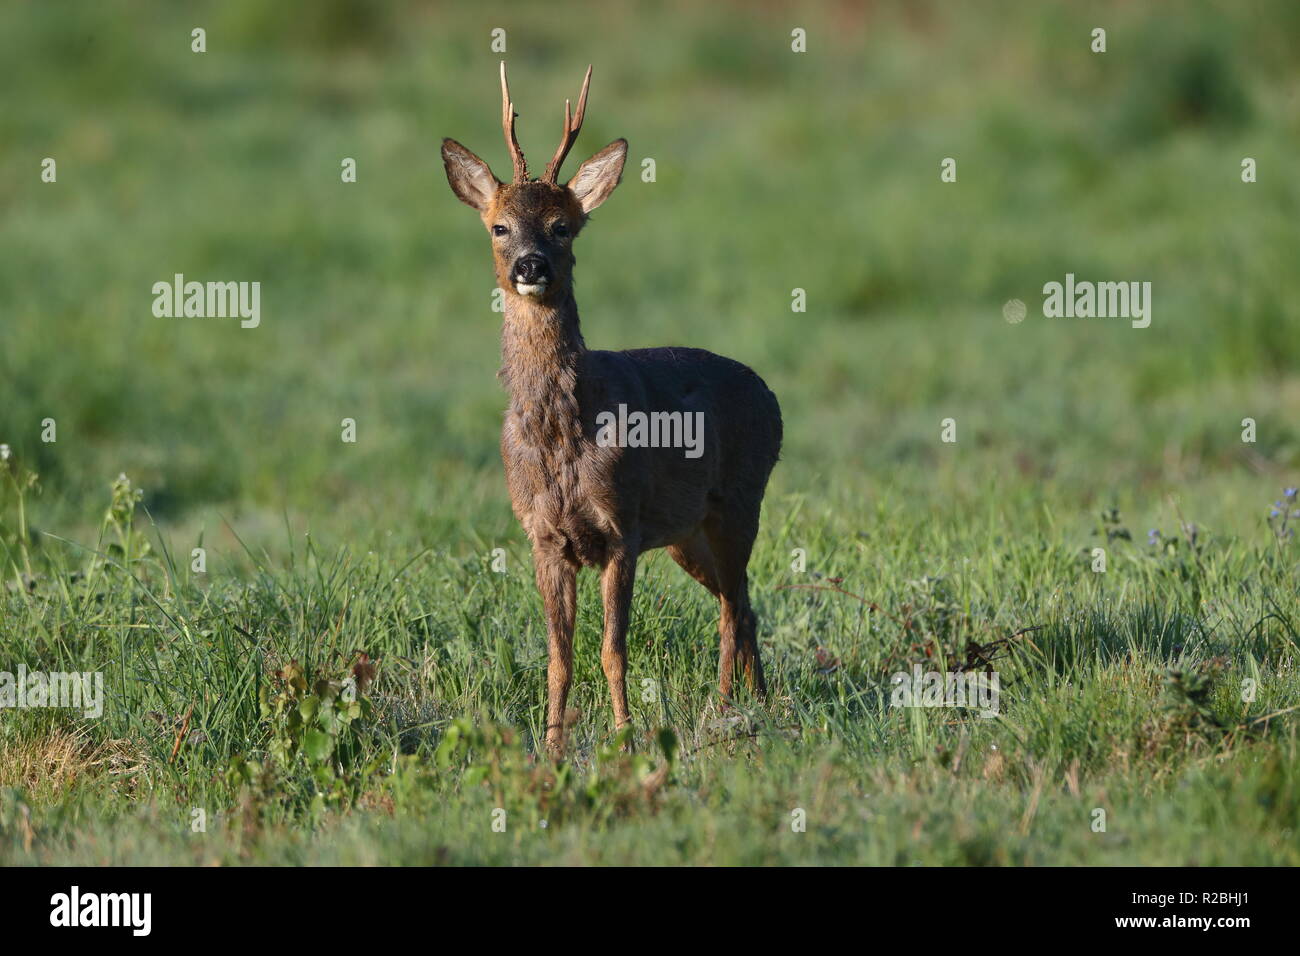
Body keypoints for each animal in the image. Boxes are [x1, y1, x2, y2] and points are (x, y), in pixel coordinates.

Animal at [441, 63, 782, 756]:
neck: (562, 433)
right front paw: (551, 748)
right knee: (742, 599)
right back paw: (754, 702)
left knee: (734, 606)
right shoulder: (543, 538)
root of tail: (773, 398)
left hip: (740, 497)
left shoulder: (622, 527)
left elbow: (612, 650)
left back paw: (729, 708)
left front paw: (626, 739)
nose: (530, 265)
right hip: (687, 533)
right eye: (499, 226)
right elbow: (558, 656)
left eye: (562, 226)